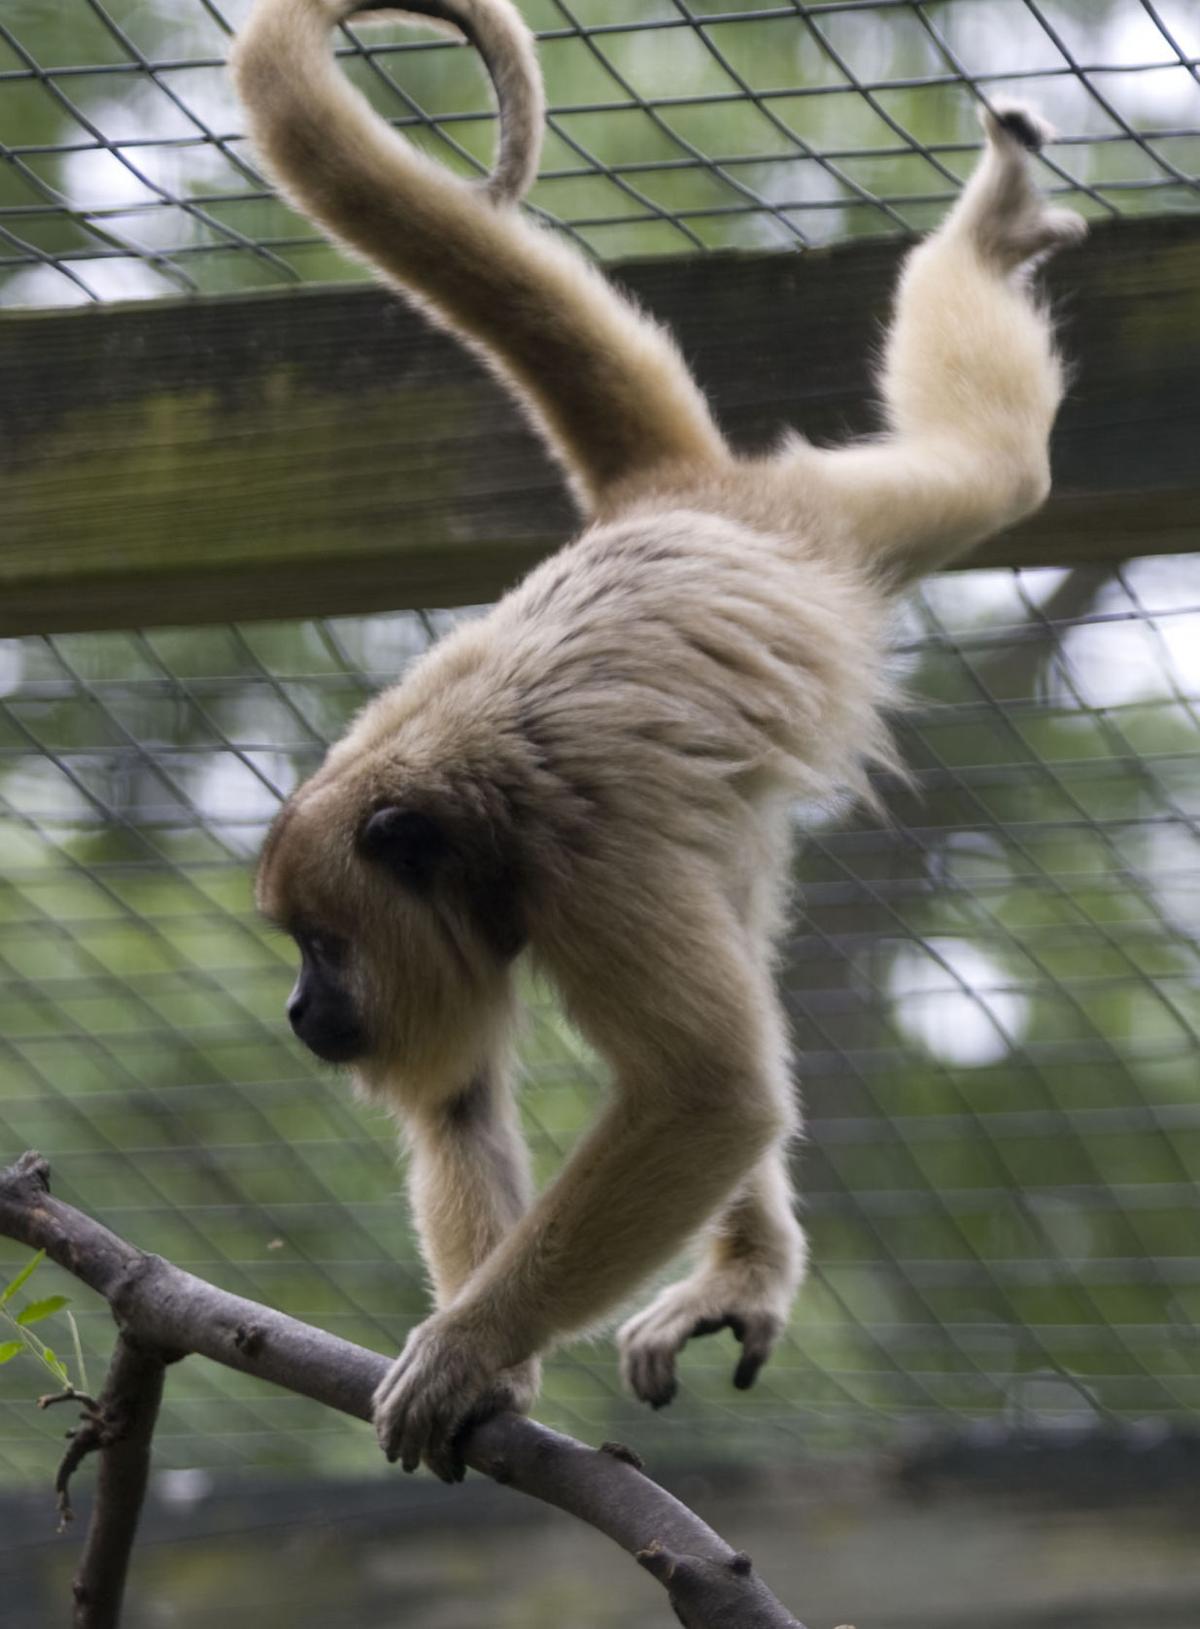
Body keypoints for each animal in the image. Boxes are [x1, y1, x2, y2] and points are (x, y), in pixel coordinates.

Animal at [231, 0, 1085, 1482]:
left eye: (321, 945)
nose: (297, 1010)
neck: (465, 813)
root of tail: (669, 498)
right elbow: (463, 1099)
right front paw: (500, 1368)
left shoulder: (589, 868)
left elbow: (704, 1093)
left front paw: (468, 1346)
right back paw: (748, 1267)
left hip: (822, 521)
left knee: (993, 475)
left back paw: (989, 235)